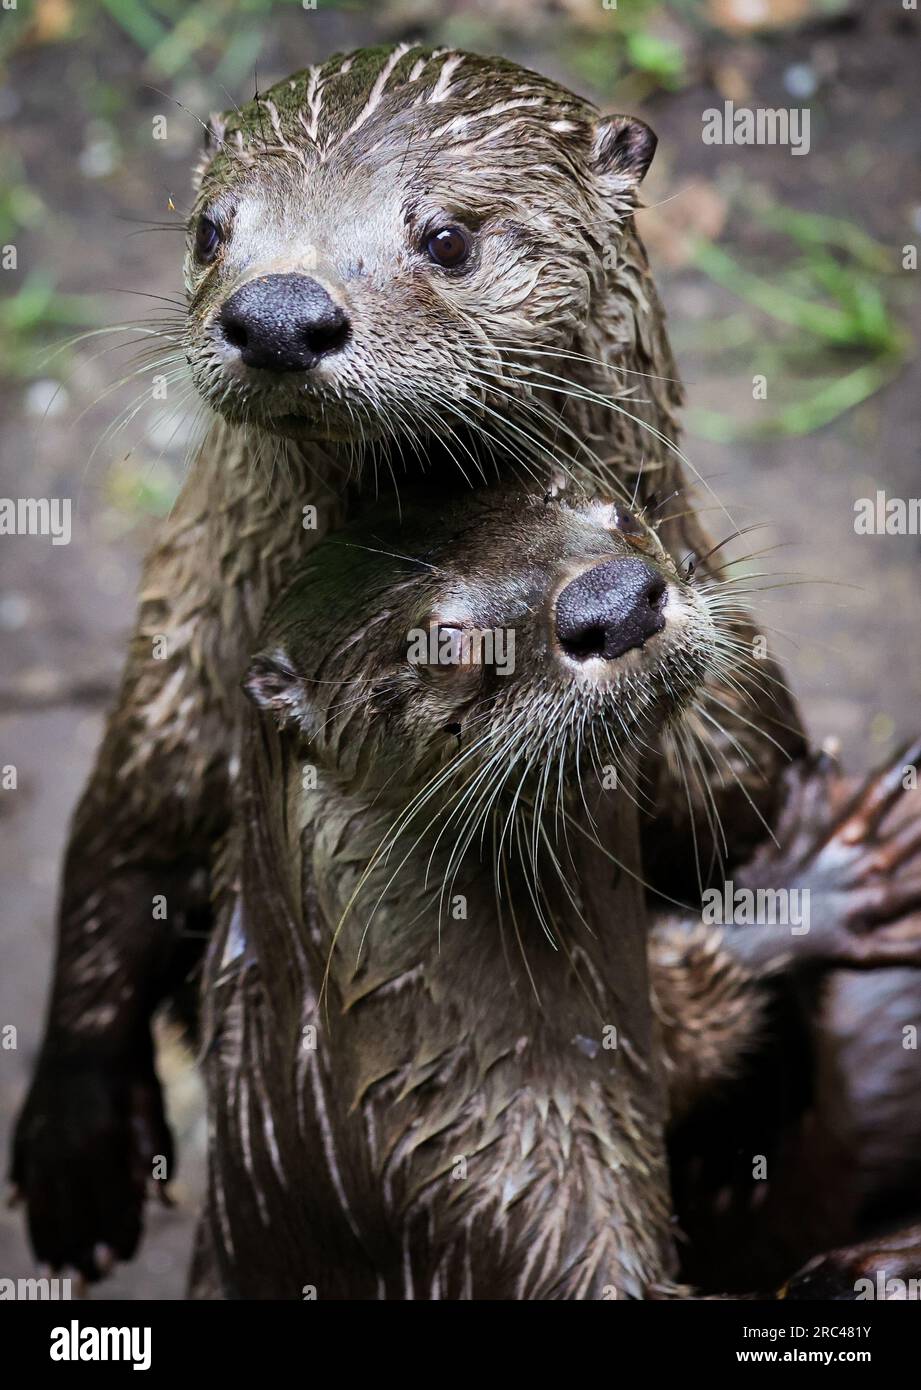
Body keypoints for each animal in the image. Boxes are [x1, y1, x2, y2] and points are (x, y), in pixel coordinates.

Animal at [12, 44, 804, 1279]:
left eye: (446, 238)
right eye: (210, 229)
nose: (279, 312)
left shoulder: (738, 749)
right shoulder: (177, 684)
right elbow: (112, 856)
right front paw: (76, 1150)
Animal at [193, 480, 921, 1299]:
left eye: (626, 518)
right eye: (443, 641)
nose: (618, 597)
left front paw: (814, 883)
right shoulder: (492, 1194)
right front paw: (872, 1266)